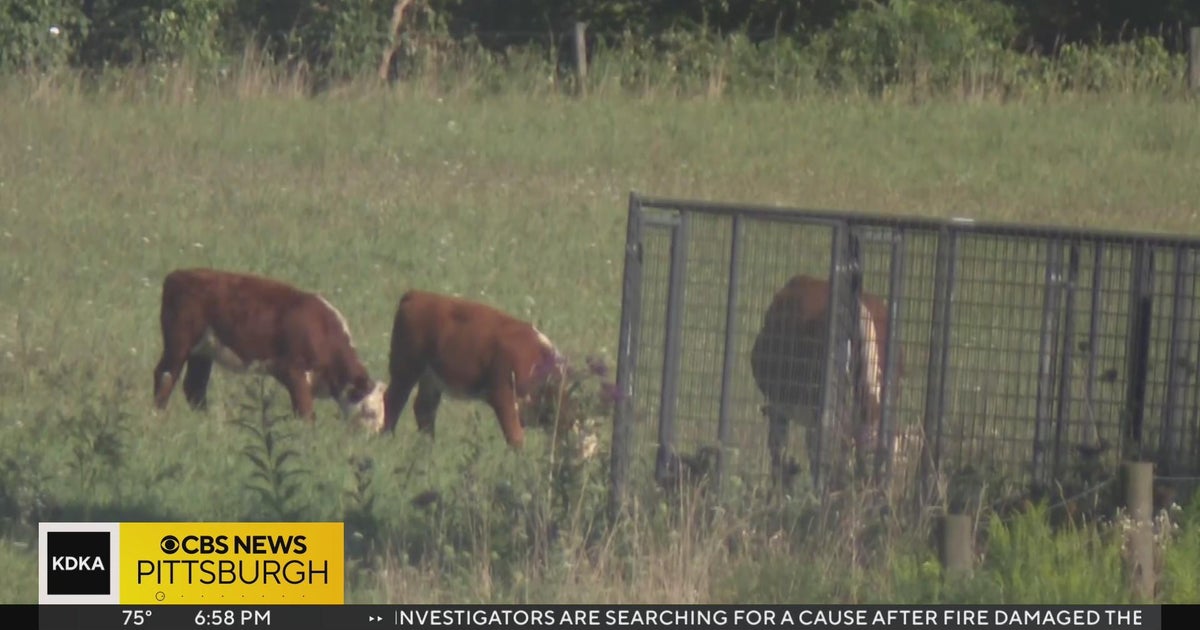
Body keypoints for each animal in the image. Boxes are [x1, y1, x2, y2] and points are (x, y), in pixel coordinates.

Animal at [152, 268, 386, 430]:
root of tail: (178, 275)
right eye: (370, 412)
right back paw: (158, 415)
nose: (373, 439)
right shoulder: (293, 371)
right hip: (178, 344)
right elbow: (305, 412)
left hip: (203, 351)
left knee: (194, 386)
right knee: (165, 375)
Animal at [381, 290, 573, 450]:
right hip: (405, 368)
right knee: (393, 401)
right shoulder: (502, 393)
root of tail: (417, 294)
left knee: (424, 409)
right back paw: (387, 439)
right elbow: (515, 437)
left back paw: (428, 447)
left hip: (430, 378)